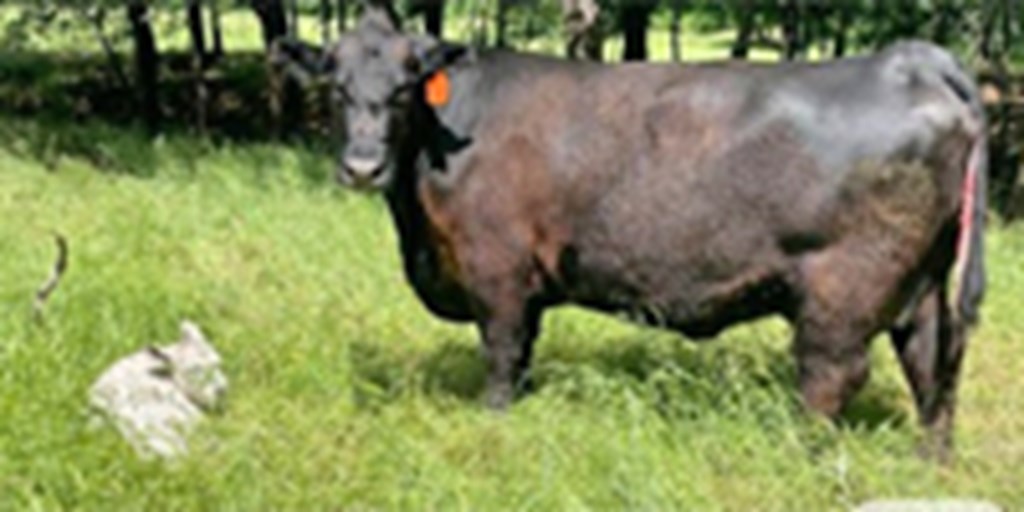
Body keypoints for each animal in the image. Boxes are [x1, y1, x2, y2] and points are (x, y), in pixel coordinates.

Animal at [276, 6, 987, 458]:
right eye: (336, 87)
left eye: (405, 87)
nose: (362, 166)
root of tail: (911, 60)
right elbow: (525, 356)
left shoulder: (496, 268)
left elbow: (502, 357)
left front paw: (495, 425)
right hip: (923, 281)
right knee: (935, 366)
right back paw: (930, 463)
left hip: (842, 287)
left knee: (832, 377)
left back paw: (795, 452)